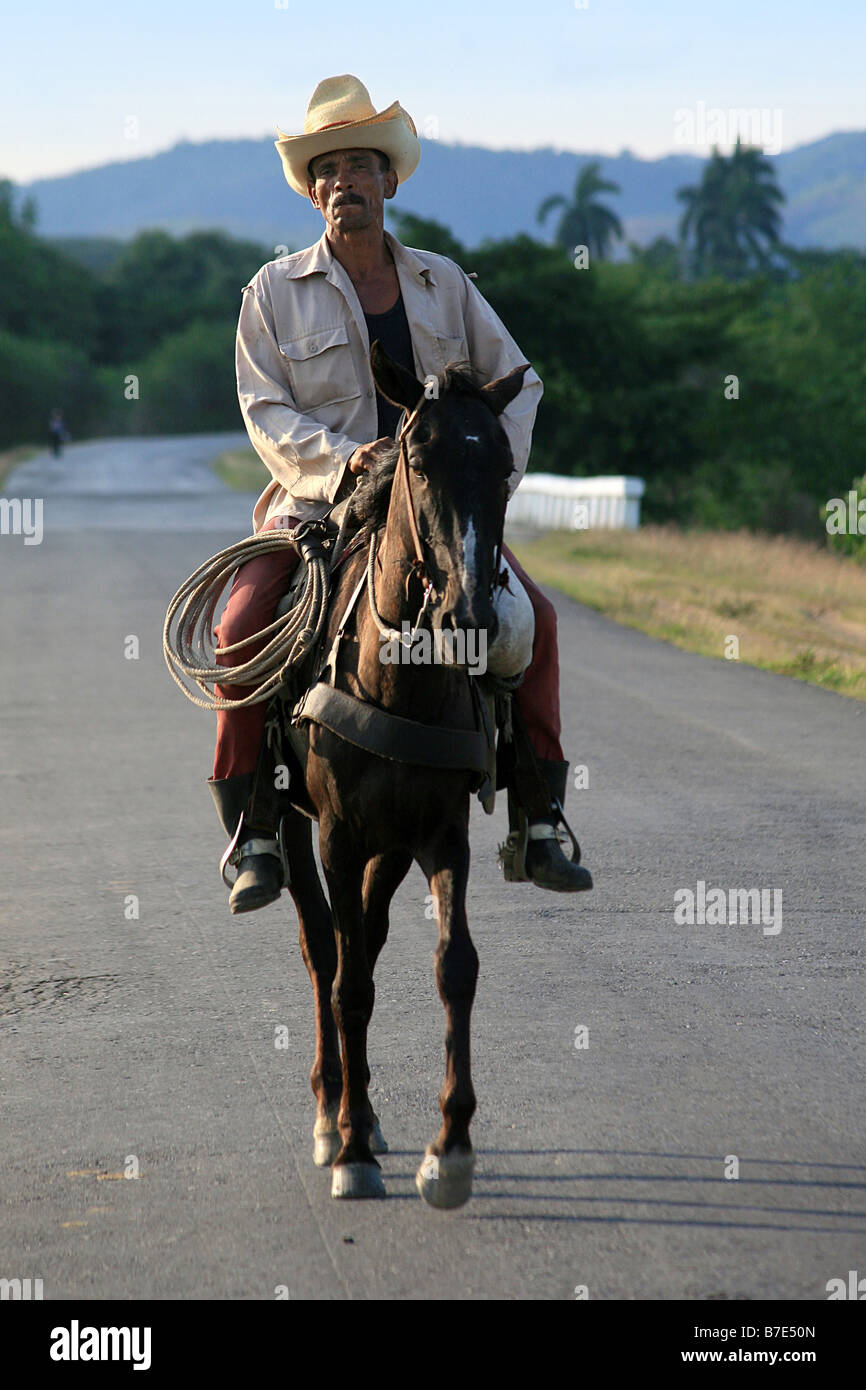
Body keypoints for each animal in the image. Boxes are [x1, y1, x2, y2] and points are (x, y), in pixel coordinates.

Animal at [277, 342, 529, 1206]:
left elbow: (456, 968)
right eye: (418, 461)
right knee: (325, 951)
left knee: (369, 936)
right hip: (299, 831)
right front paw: (351, 1148)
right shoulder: (337, 836)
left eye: (506, 468)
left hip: (390, 846)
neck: (398, 680)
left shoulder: (440, 834)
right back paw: (331, 1113)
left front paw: (449, 1148)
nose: (467, 618)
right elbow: (347, 981)